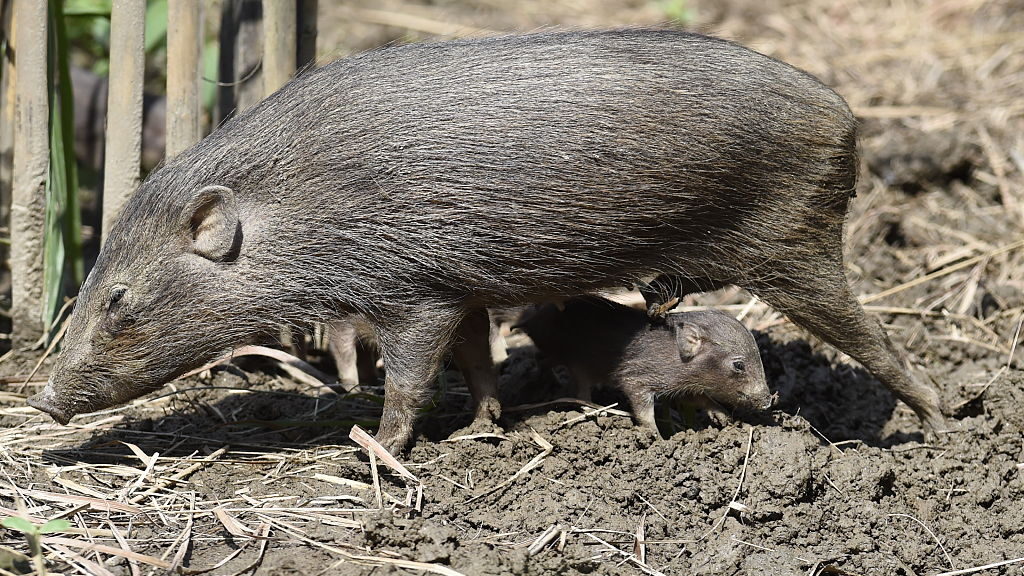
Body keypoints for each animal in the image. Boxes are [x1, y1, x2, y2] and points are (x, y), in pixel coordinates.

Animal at [516, 297, 773, 432]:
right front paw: (655, 436)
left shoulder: (683, 387)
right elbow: (644, 412)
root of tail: (530, 321)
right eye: (739, 365)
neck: (677, 358)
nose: (769, 401)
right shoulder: (636, 379)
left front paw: (723, 418)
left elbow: (702, 399)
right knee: (578, 389)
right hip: (576, 363)